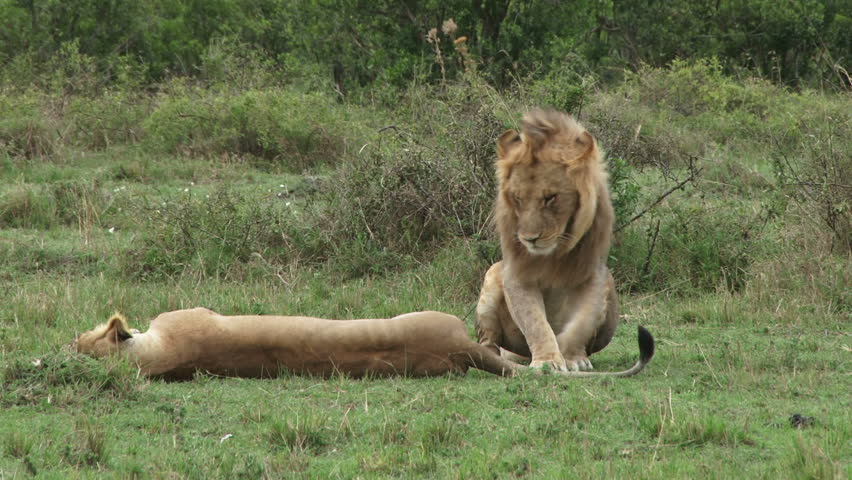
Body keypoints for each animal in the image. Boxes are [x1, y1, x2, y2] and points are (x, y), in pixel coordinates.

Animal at [476, 109, 628, 372]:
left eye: (550, 198)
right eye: (517, 198)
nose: (530, 239)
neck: (555, 253)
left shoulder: (594, 275)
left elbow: (581, 323)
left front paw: (572, 358)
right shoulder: (517, 274)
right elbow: (535, 321)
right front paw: (548, 361)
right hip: (492, 277)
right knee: (489, 341)